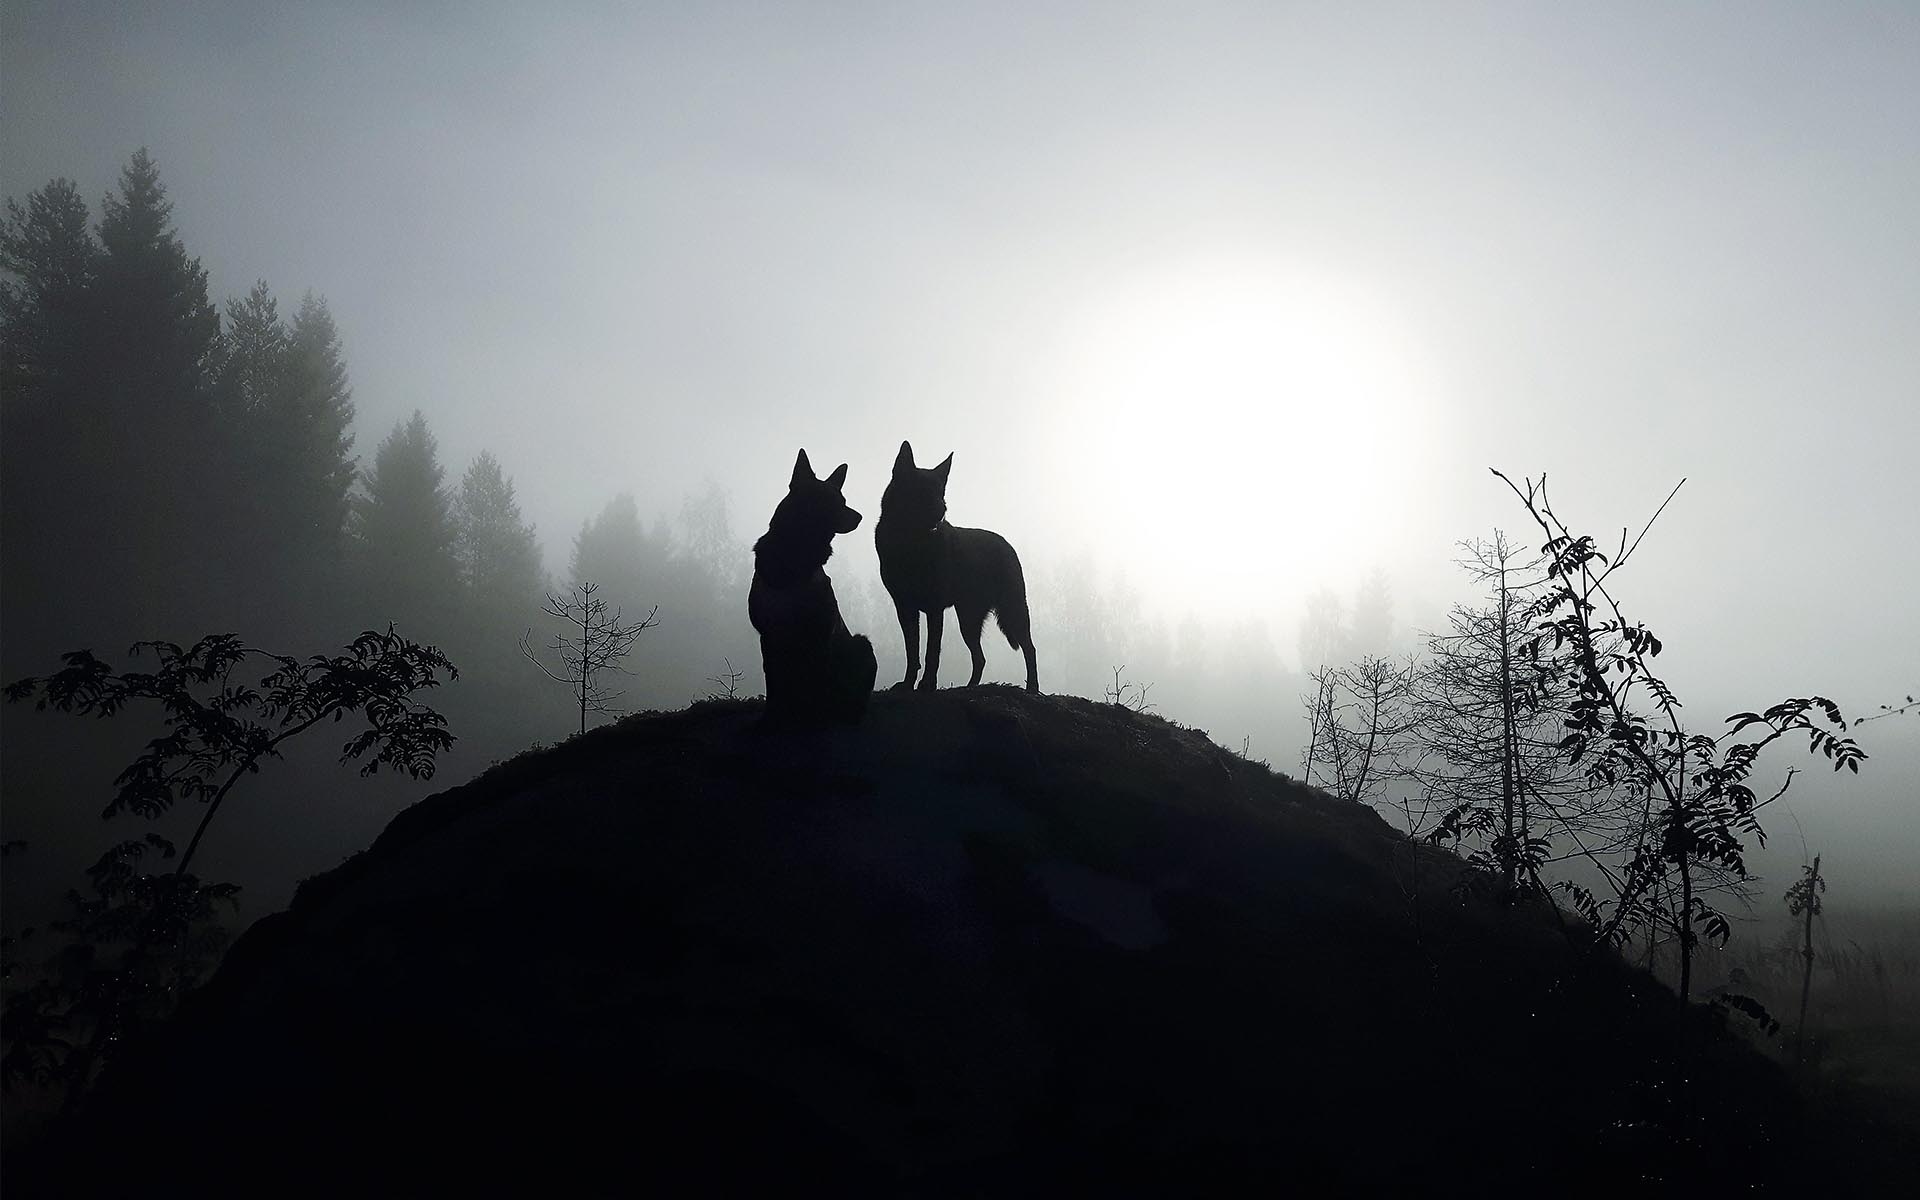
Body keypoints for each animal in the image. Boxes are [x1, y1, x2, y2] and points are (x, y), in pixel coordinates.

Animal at [749, 450, 878, 724]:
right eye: (833, 500)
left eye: (843, 498)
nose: (860, 517)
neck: (795, 557)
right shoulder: (769, 635)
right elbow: (773, 683)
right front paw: (770, 718)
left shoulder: (819, 634)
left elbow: (817, 681)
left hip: (861, 645)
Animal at [875, 441, 1038, 693]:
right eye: (921, 490)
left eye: (940, 491)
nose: (942, 509)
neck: (910, 543)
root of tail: (1006, 544)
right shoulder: (905, 608)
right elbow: (912, 651)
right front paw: (908, 683)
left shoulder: (934, 608)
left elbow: (932, 652)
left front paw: (927, 685)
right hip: (968, 621)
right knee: (980, 658)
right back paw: (970, 687)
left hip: (1013, 610)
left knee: (1029, 649)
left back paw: (1033, 688)